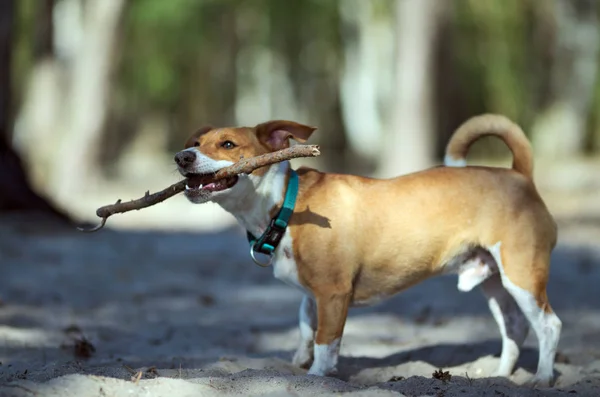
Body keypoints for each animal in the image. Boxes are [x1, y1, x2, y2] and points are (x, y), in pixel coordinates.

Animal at [175, 113, 564, 386]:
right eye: (195, 141)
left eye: (227, 144)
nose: (182, 156)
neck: (286, 202)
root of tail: (519, 176)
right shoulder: (314, 296)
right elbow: (305, 326)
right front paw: (298, 363)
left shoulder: (333, 293)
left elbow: (325, 340)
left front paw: (317, 377)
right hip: (494, 281)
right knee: (515, 327)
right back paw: (500, 374)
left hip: (522, 276)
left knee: (549, 325)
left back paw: (542, 378)